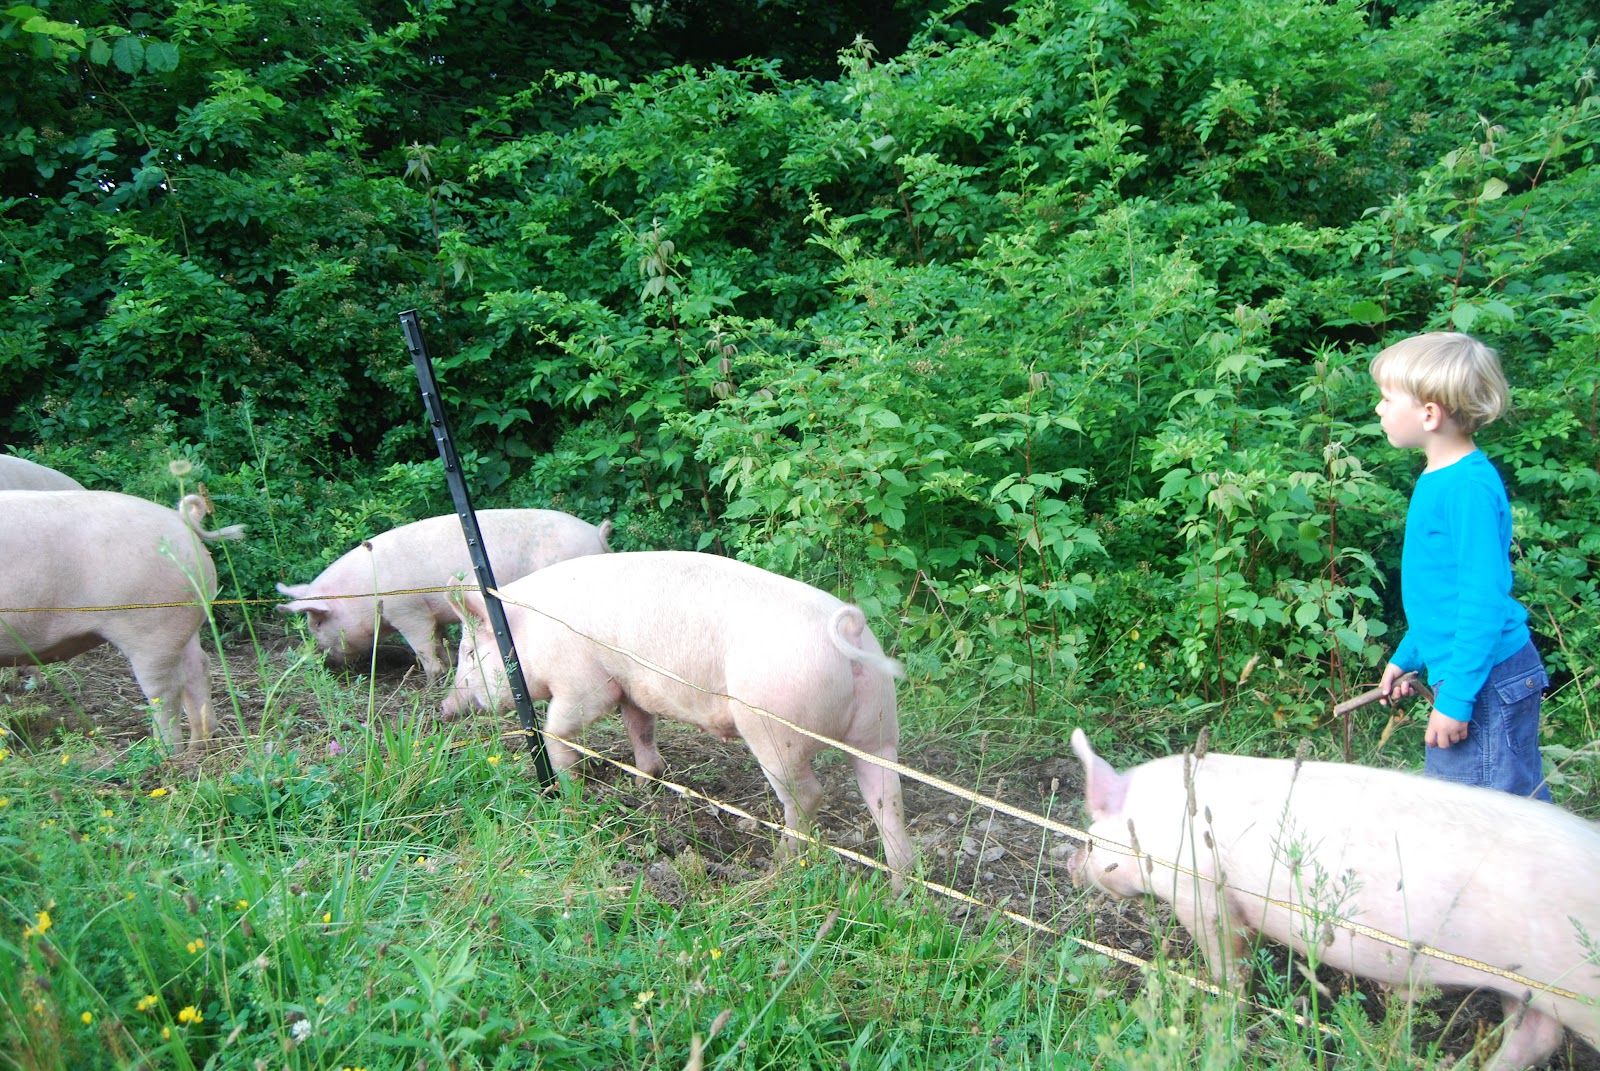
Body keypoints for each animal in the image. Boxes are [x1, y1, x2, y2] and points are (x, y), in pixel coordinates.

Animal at [0, 489, 245, 752]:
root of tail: (179, 519)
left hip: (153, 626)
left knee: (165, 690)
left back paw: (164, 752)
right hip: (186, 620)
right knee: (198, 668)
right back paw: (198, 746)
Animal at [275, 509, 613, 682]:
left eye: (316, 623)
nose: (321, 662)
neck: (364, 593)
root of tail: (596, 533)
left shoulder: (407, 610)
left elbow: (422, 644)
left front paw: (432, 677)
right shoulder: (428, 612)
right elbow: (436, 640)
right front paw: (448, 664)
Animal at [442, 550, 915, 884]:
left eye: (468, 652)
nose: (444, 708)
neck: (523, 632)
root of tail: (848, 634)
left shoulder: (585, 683)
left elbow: (560, 729)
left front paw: (567, 790)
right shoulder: (632, 687)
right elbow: (640, 726)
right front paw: (645, 780)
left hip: (775, 728)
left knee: (809, 795)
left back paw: (779, 863)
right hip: (879, 726)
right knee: (886, 796)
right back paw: (900, 887)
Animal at [1069, 729, 1600, 1071]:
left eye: (1092, 840)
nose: (1073, 866)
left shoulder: (1197, 890)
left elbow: (1228, 958)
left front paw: (1224, 1005)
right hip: (1527, 985)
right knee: (1535, 1037)